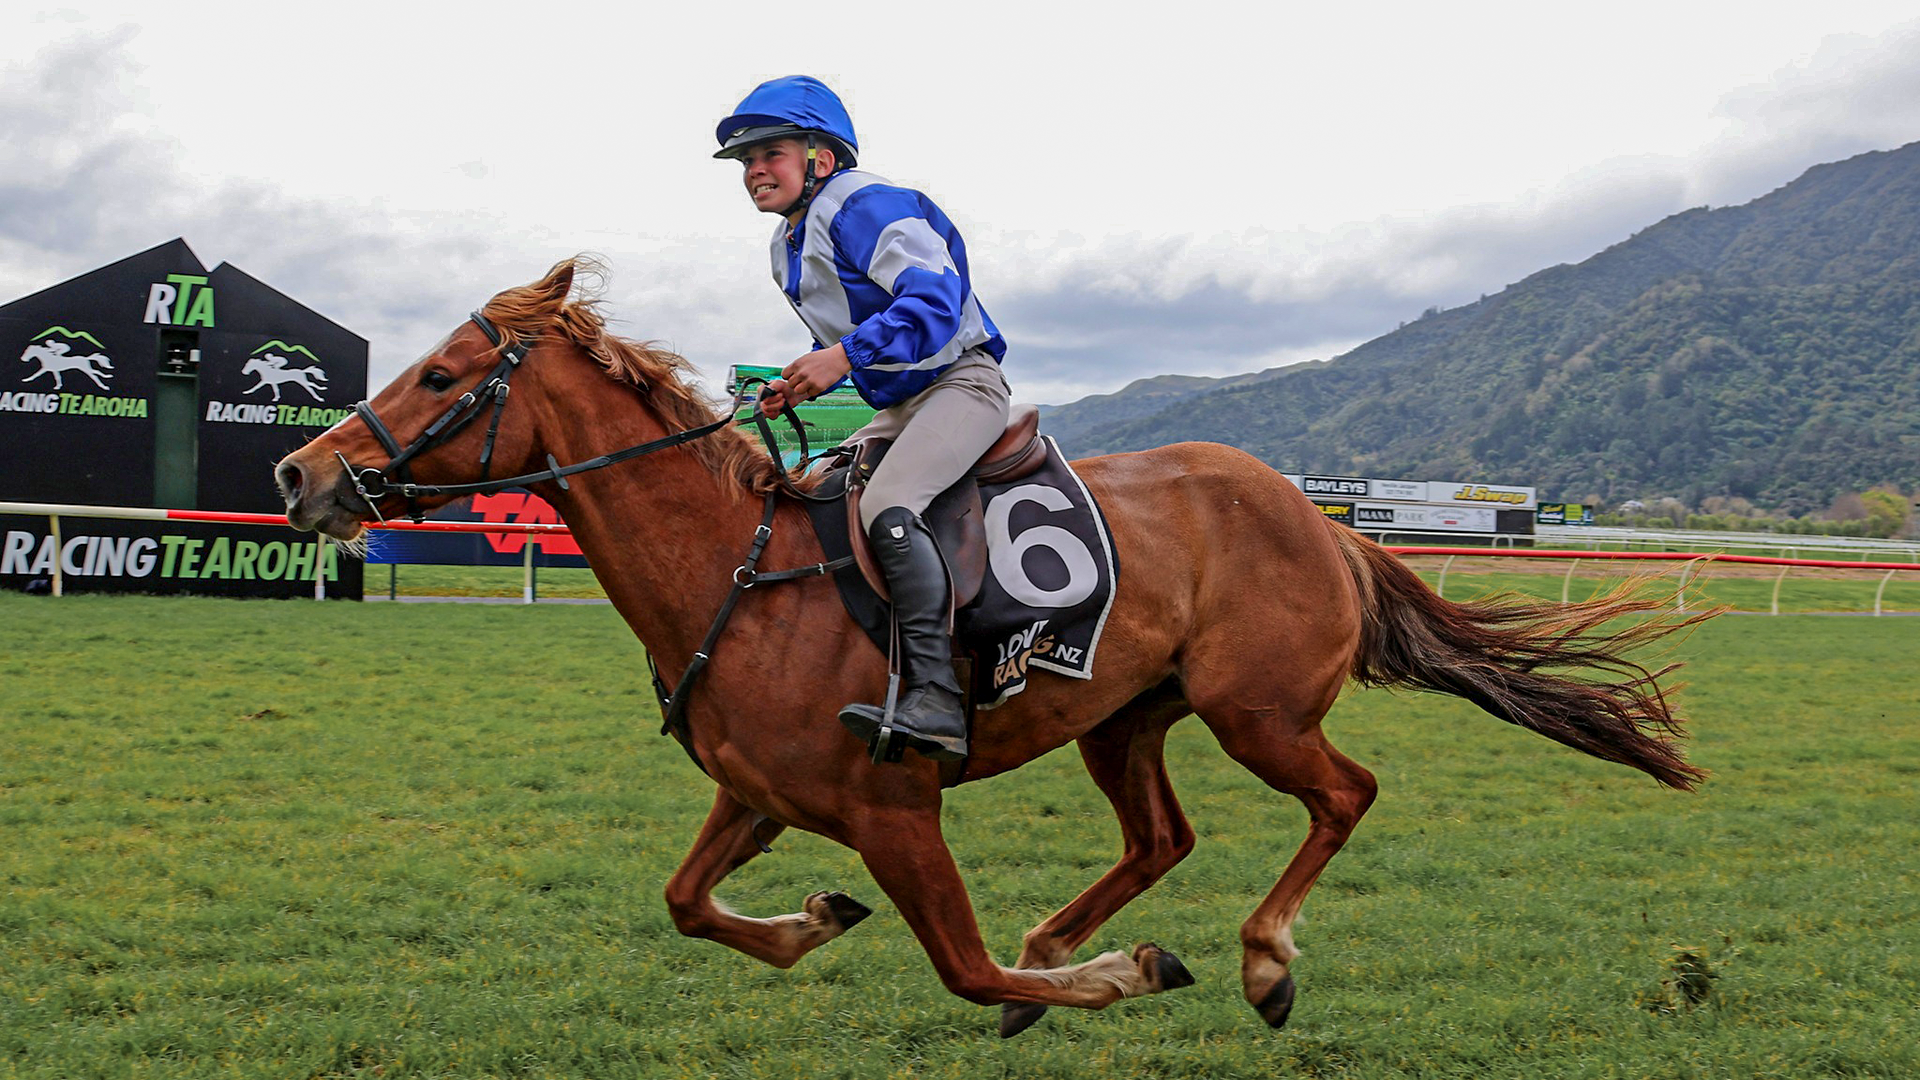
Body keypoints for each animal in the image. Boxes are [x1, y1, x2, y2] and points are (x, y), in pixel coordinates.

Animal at [275, 259, 1709, 1037]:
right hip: (1127, 716)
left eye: (442, 372)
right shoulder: (760, 794)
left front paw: (1128, 976)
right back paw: (1060, 946)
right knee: (1161, 837)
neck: (741, 573)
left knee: (1344, 795)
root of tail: (1313, 511)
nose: (298, 474)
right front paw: (813, 922)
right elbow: (685, 904)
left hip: (1260, 712)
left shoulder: (894, 809)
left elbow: (958, 968)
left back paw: (1255, 958)